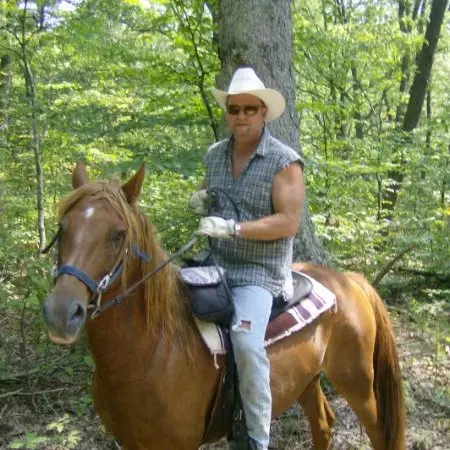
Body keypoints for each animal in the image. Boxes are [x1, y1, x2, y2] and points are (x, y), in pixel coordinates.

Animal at [42, 163, 406, 450]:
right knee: (324, 425)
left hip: (358, 384)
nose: (61, 313)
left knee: (378, 434)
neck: (153, 350)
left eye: (118, 234)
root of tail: (349, 279)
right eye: (62, 227)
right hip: (307, 380)